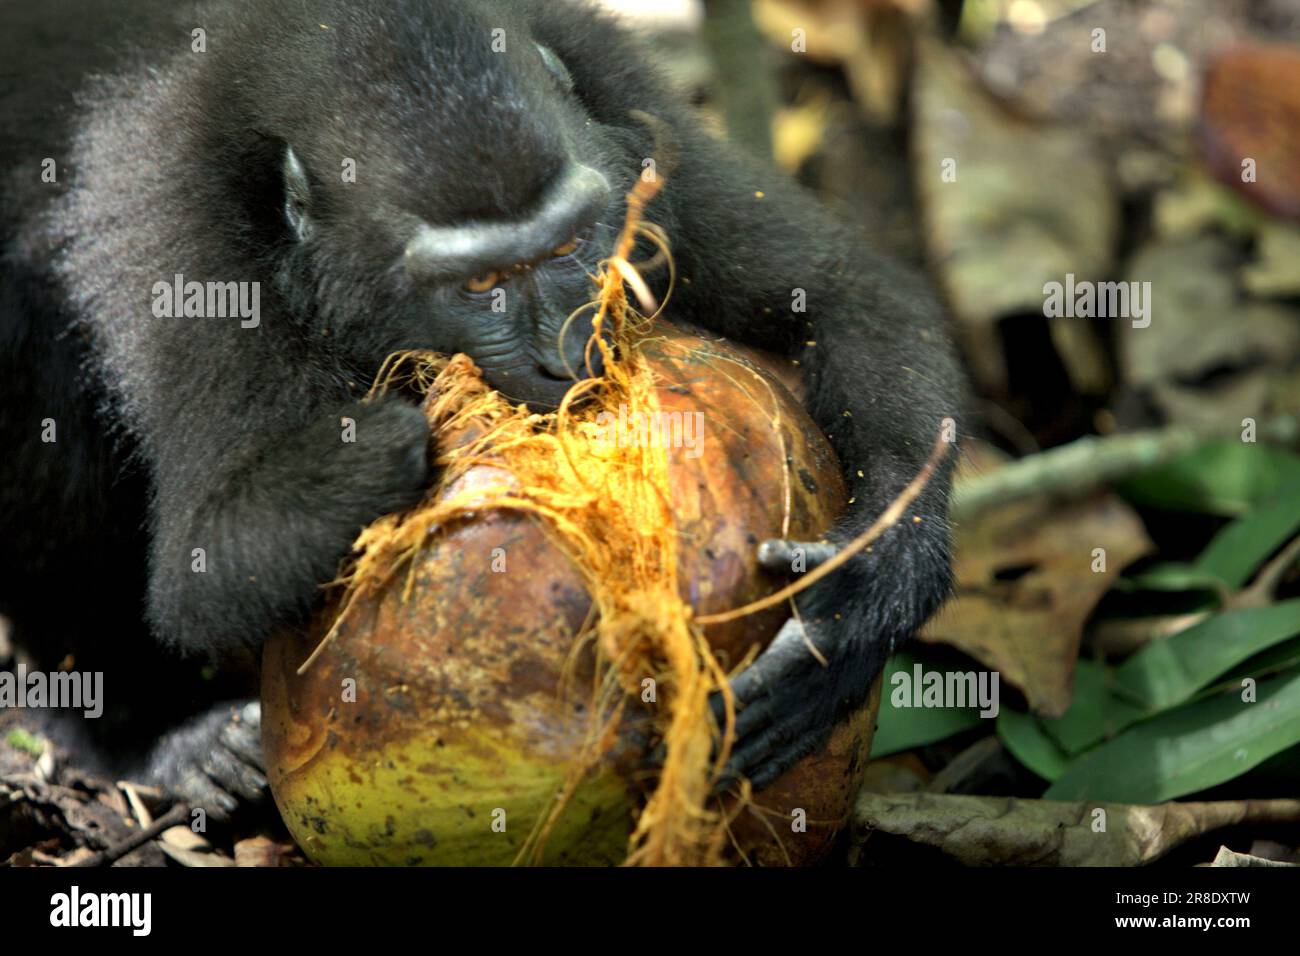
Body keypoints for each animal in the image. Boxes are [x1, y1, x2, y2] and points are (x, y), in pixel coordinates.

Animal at [0, 0, 962, 816]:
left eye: (568, 245)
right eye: (479, 284)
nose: (563, 356)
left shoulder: (622, 103)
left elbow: (839, 294)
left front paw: (859, 599)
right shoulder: (186, 238)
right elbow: (197, 572)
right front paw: (397, 427)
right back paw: (151, 736)